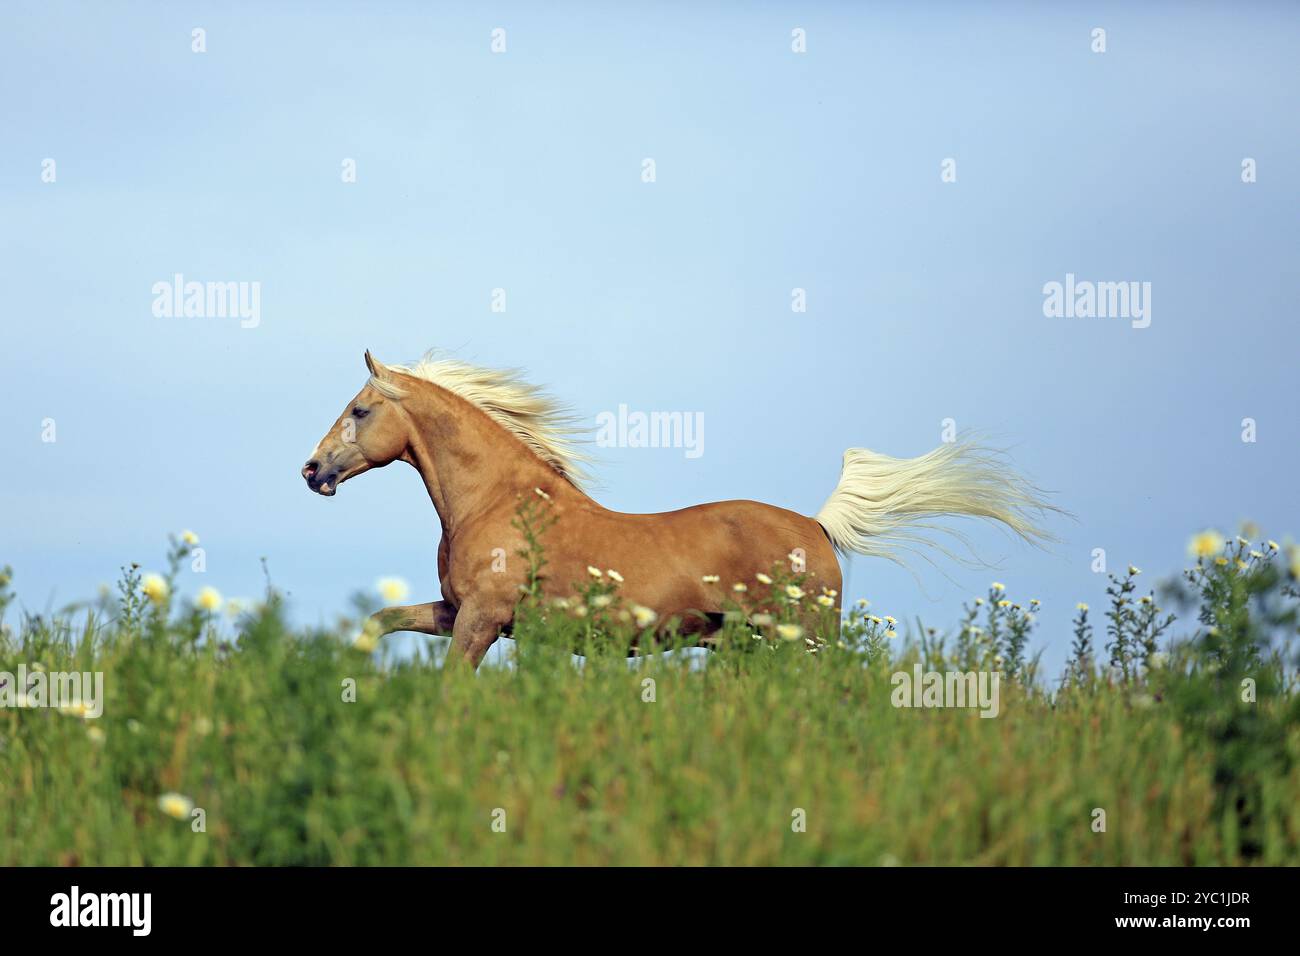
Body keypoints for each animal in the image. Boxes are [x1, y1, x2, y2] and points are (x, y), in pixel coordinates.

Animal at [302, 351, 1054, 668]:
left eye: (360, 410)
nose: (312, 471)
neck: (499, 505)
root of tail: (817, 527)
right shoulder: (456, 612)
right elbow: (379, 622)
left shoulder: (481, 620)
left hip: (806, 639)